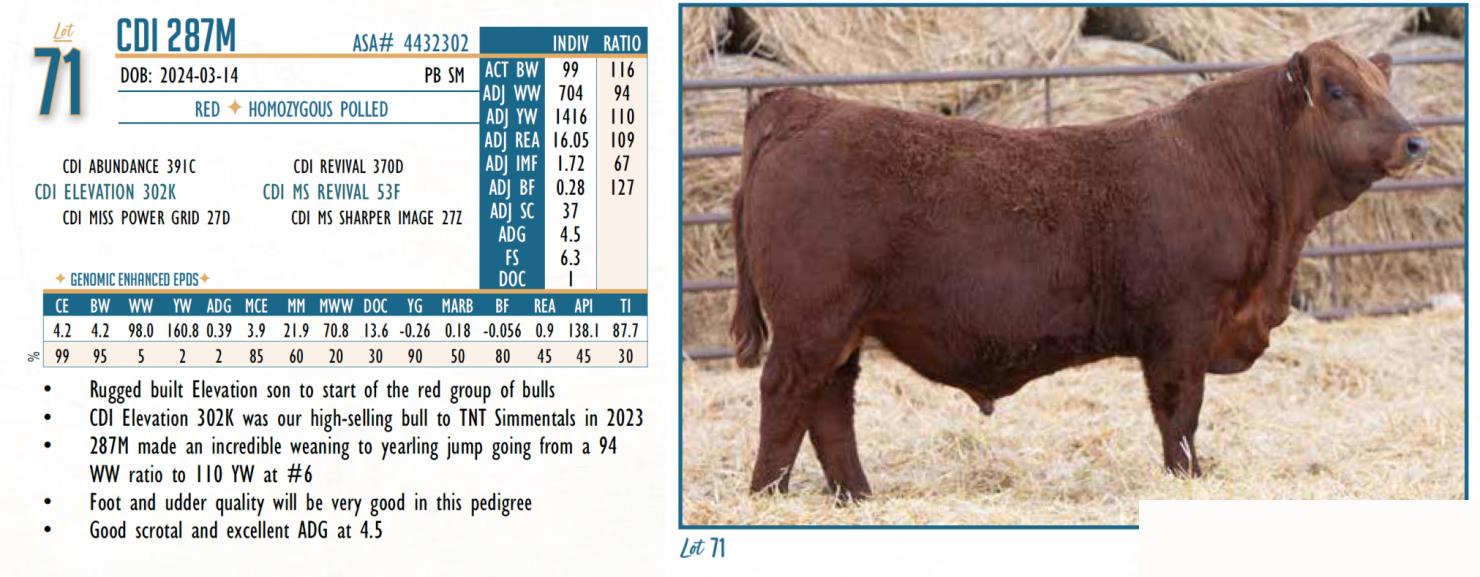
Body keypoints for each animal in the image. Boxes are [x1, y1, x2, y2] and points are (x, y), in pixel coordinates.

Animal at [729, 40, 1429, 501]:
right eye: (1338, 90)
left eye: (1383, 86)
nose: (1415, 141)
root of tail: (802, 106)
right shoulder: (1181, 328)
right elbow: (1179, 415)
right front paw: (1188, 479)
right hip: (813, 324)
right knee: (785, 396)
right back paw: (767, 495)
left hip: (842, 329)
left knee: (830, 407)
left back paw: (856, 495)